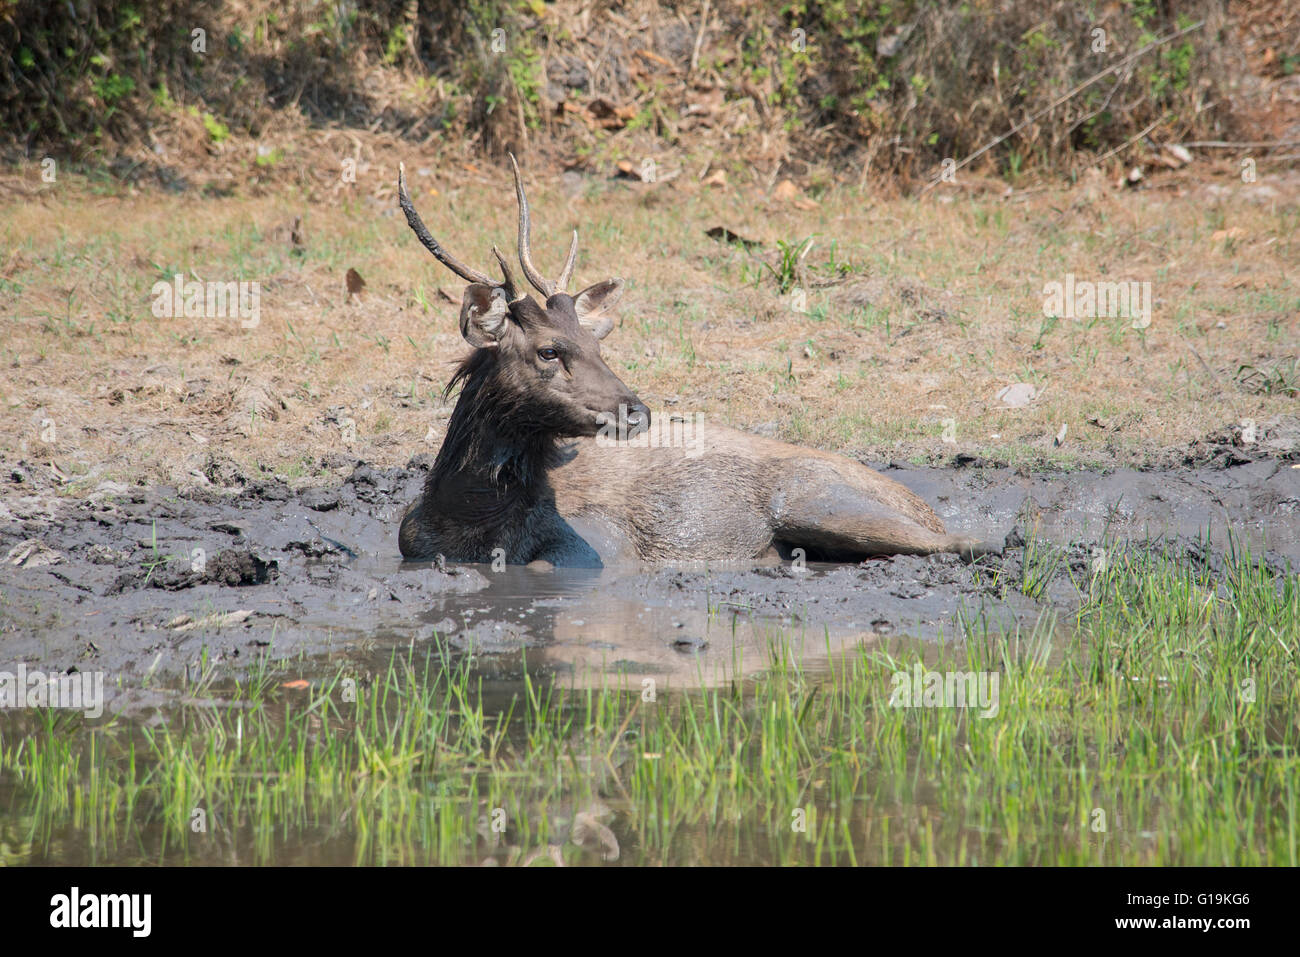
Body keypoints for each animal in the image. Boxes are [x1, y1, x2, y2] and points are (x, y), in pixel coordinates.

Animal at [396, 156, 1000, 568]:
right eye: (549, 350)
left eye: (598, 346)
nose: (636, 410)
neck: (466, 515)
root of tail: (922, 504)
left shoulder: (599, 543)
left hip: (813, 496)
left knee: (964, 540)